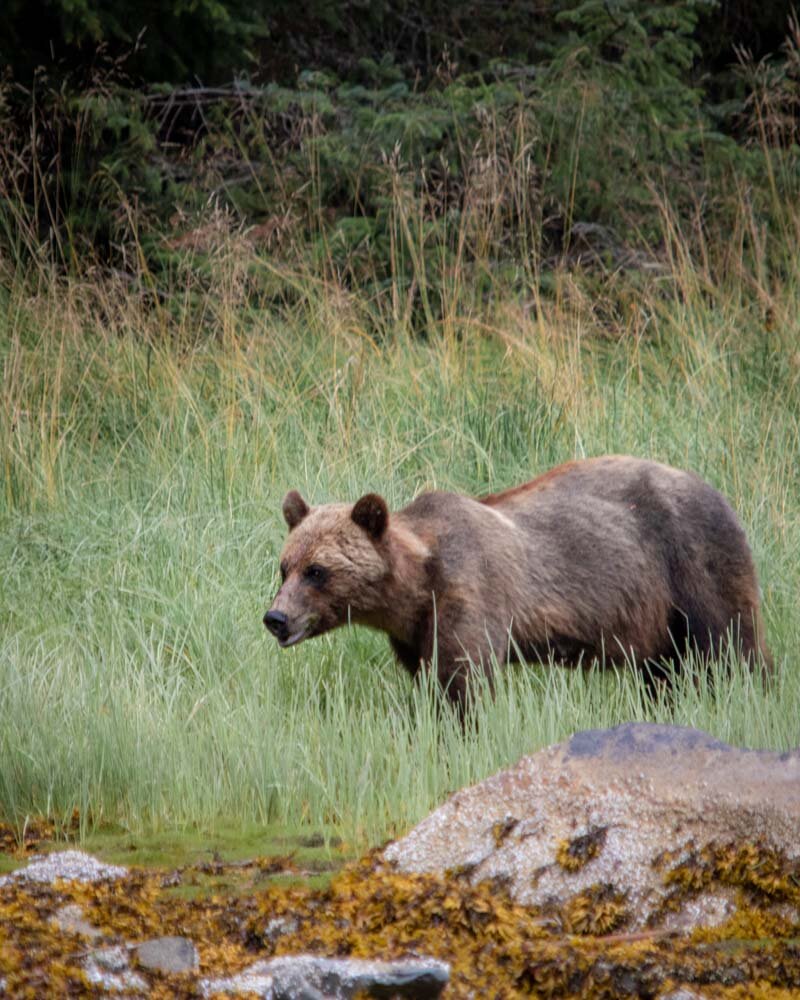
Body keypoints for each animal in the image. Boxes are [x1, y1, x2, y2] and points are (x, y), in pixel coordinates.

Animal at [263, 456, 772, 710]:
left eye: (317, 571)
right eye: (284, 567)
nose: (276, 618)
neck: (414, 587)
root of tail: (718, 492)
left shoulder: (470, 591)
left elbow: (464, 681)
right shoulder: (414, 630)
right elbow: (429, 679)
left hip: (693, 565)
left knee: (733, 645)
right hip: (658, 618)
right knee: (664, 673)